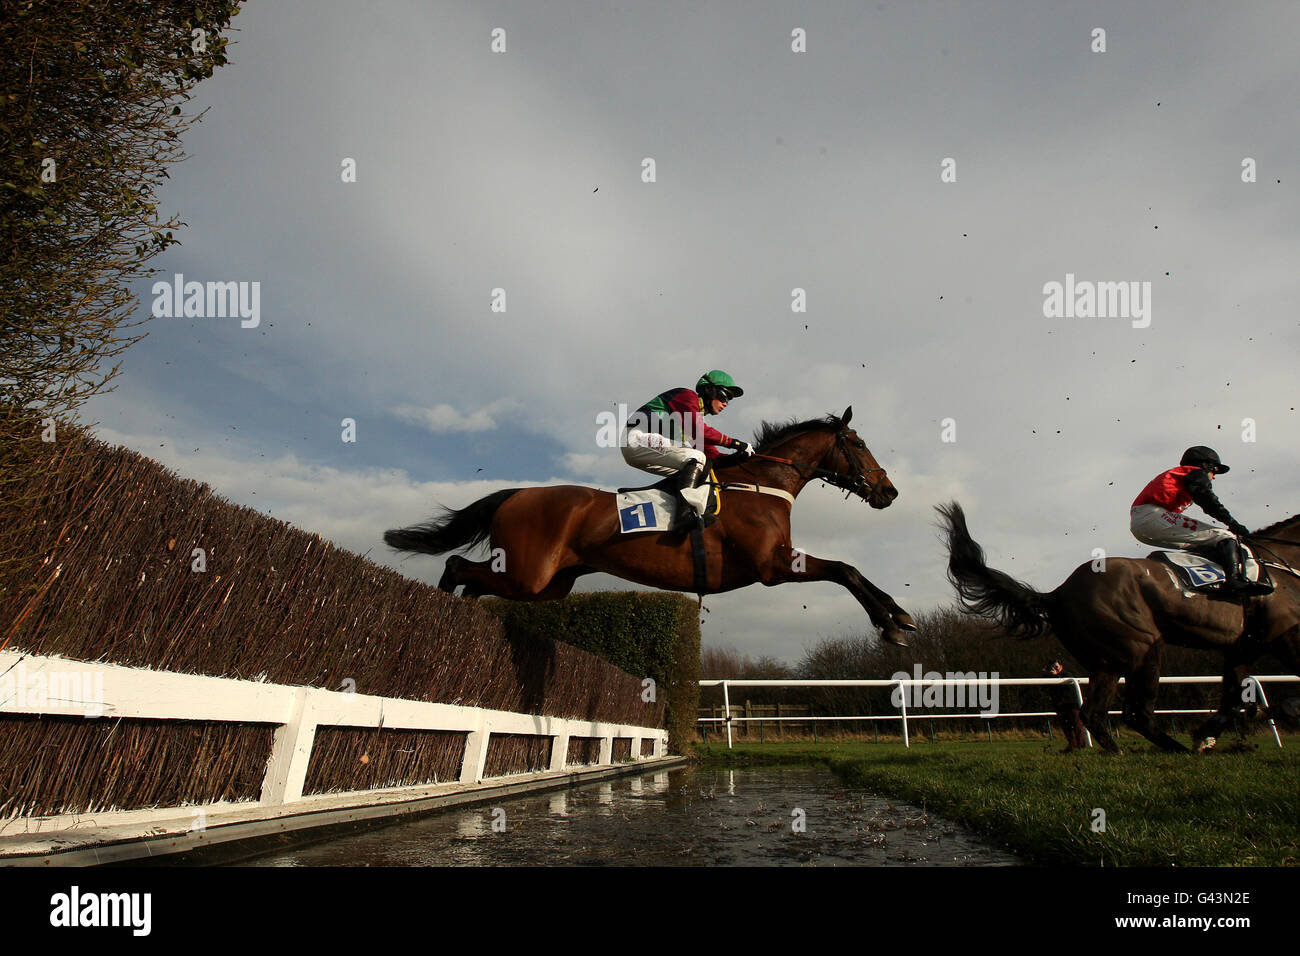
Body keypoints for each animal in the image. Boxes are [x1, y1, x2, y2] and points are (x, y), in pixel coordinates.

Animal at [384, 407, 918, 646]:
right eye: (858, 443)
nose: (889, 491)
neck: (762, 484)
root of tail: (516, 493)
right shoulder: (772, 565)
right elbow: (845, 569)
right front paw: (891, 624)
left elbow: (850, 570)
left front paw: (900, 615)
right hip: (527, 573)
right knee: (457, 565)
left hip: (547, 584)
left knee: (474, 582)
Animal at [936, 502, 1300, 752]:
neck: (1281, 566)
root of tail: (1056, 593)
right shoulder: (1278, 636)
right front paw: (1265, 714)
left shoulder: (1248, 645)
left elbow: (1232, 695)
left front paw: (1213, 732)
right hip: (1143, 647)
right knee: (1136, 713)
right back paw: (1175, 749)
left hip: (1106, 661)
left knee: (1093, 713)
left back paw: (1119, 750)